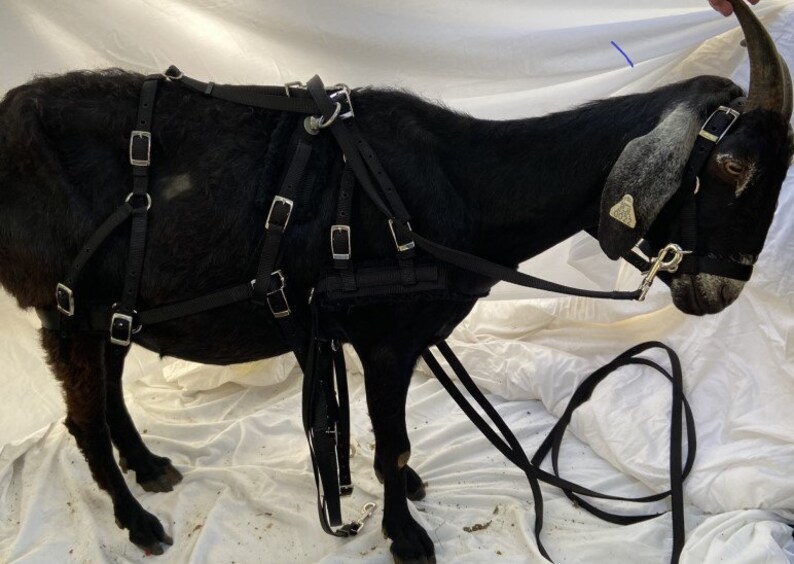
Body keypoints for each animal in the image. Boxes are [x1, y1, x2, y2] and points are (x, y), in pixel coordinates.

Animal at [0, 0, 791, 562]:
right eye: (732, 164)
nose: (723, 291)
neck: (463, 184)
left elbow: (396, 441)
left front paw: (404, 497)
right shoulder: (384, 342)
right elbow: (394, 442)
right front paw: (407, 534)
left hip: (113, 309)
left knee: (109, 388)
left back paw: (150, 467)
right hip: (63, 309)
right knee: (82, 418)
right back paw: (138, 521)